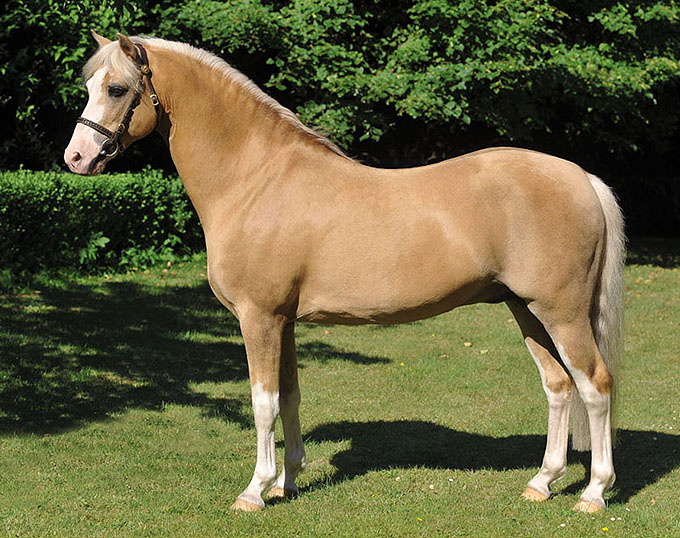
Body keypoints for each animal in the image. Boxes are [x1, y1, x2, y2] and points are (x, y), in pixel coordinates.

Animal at [64, 32, 625, 513]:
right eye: (89, 86)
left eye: (117, 88)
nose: (76, 157)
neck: (255, 178)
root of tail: (583, 177)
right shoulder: (283, 321)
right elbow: (289, 395)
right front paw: (287, 482)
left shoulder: (258, 318)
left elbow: (263, 402)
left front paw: (254, 490)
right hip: (526, 310)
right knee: (558, 386)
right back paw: (542, 483)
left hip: (561, 313)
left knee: (594, 385)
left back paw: (593, 492)